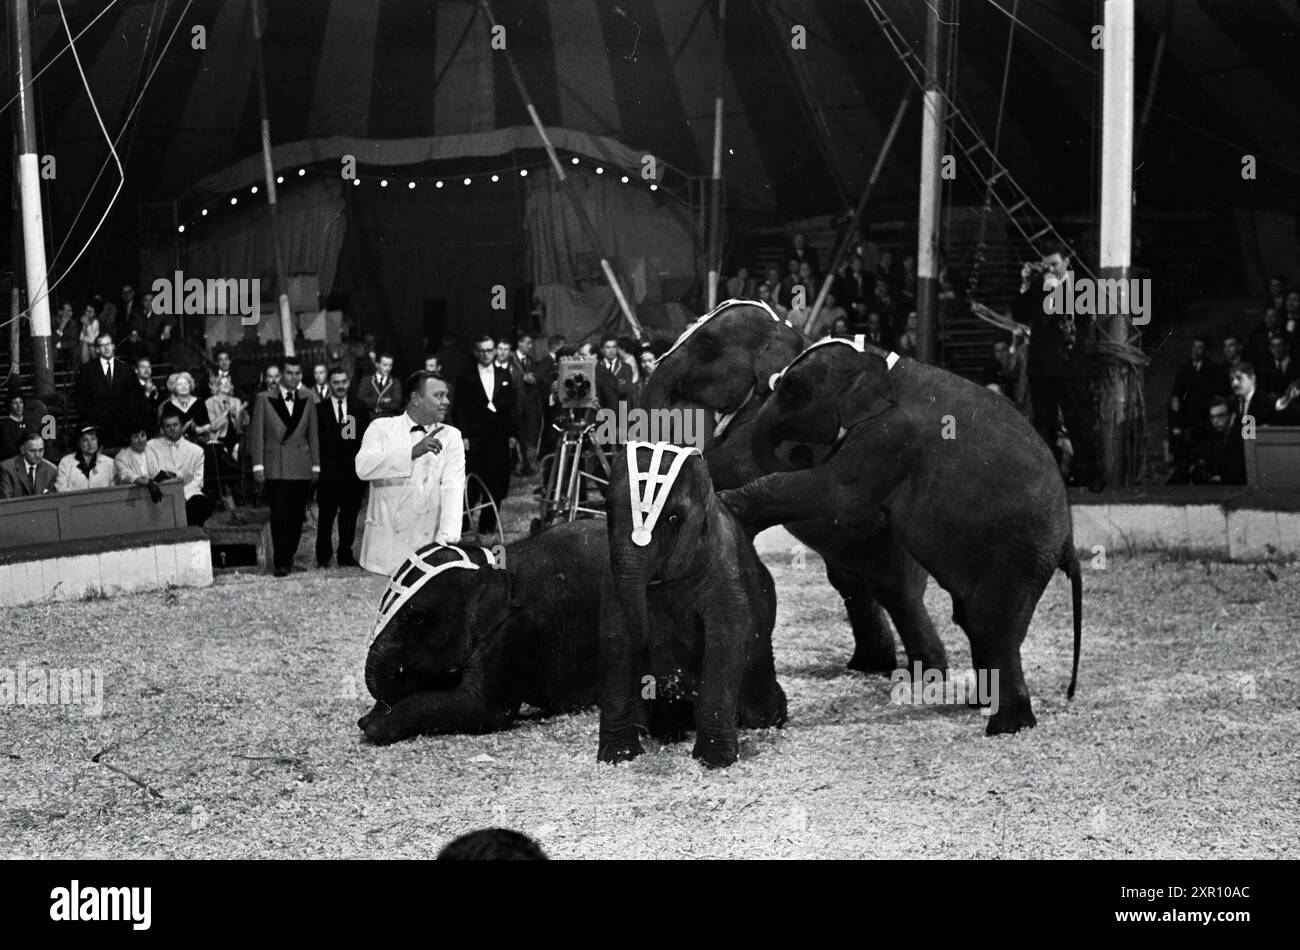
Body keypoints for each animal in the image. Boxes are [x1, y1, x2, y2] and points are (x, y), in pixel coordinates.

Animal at [358, 521, 605, 744]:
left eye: (417, 618)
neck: (497, 566)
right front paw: (369, 718)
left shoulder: (515, 629)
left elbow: (481, 708)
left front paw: (373, 725)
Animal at [598, 442, 787, 769]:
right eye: (607, 510)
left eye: (674, 519)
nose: (673, 684)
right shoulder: (612, 578)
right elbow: (616, 635)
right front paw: (618, 756)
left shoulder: (725, 569)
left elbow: (726, 639)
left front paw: (714, 760)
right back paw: (670, 730)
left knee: (763, 710)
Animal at [642, 299, 947, 676]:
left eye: (707, 344)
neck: (786, 331)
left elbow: (725, 467)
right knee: (853, 583)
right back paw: (869, 665)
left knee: (896, 589)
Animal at [720, 339, 1082, 736]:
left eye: (792, 389)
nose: (799, 451)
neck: (881, 363)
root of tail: (1068, 539)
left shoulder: (890, 435)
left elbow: (835, 491)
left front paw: (729, 502)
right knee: (973, 619)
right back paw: (979, 704)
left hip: (1019, 553)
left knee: (992, 624)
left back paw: (1004, 727)